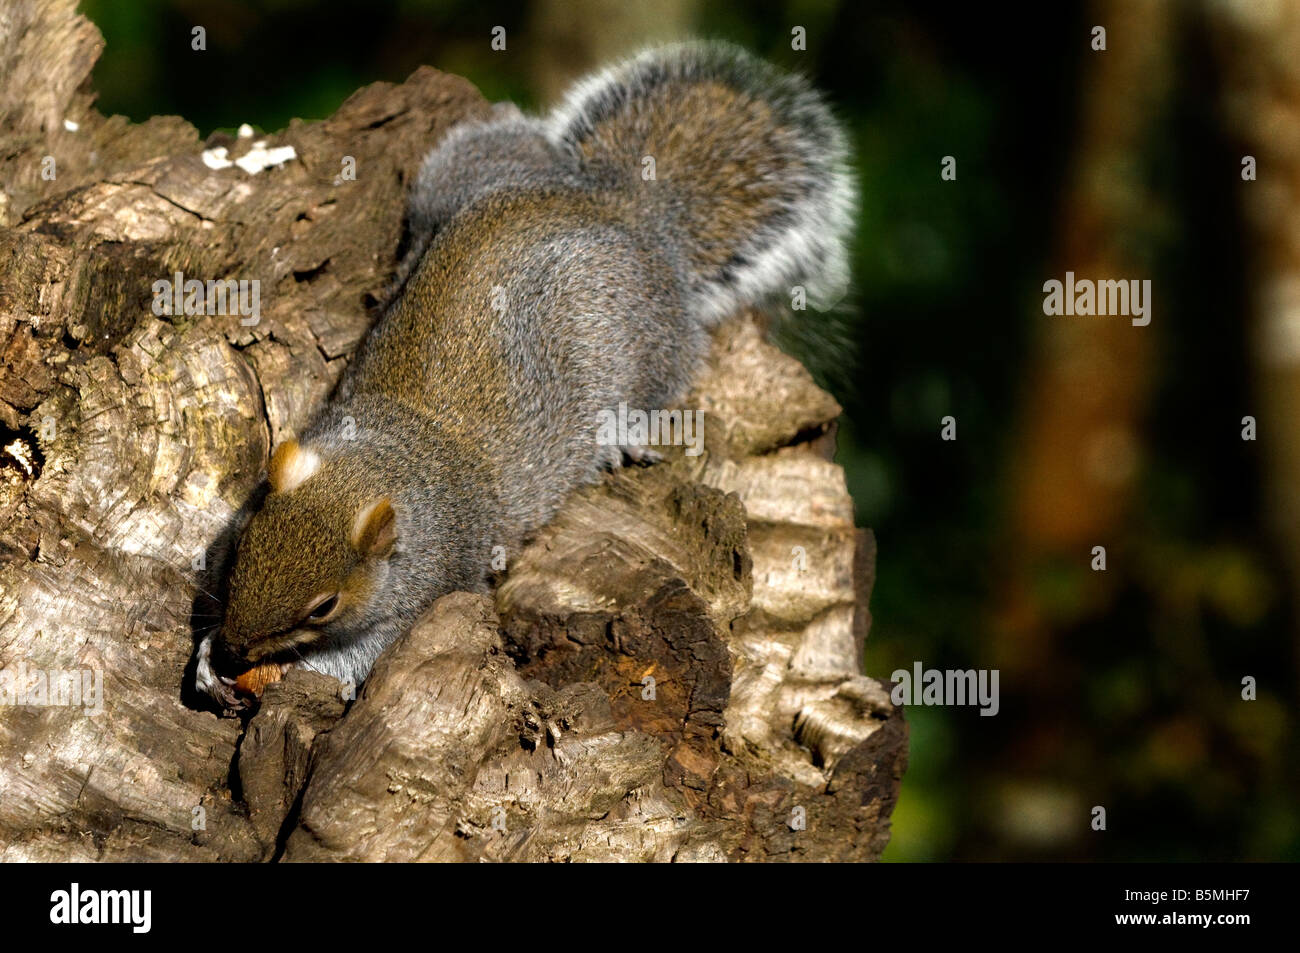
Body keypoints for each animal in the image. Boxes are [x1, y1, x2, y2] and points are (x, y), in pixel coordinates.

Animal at [195, 40, 855, 710]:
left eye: (323, 607)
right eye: (243, 547)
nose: (235, 650)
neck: (387, 460)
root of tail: (627, 208)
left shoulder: (434, 580)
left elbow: (364, 654)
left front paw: (290, 670)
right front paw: (205, 657)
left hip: (646, 344)